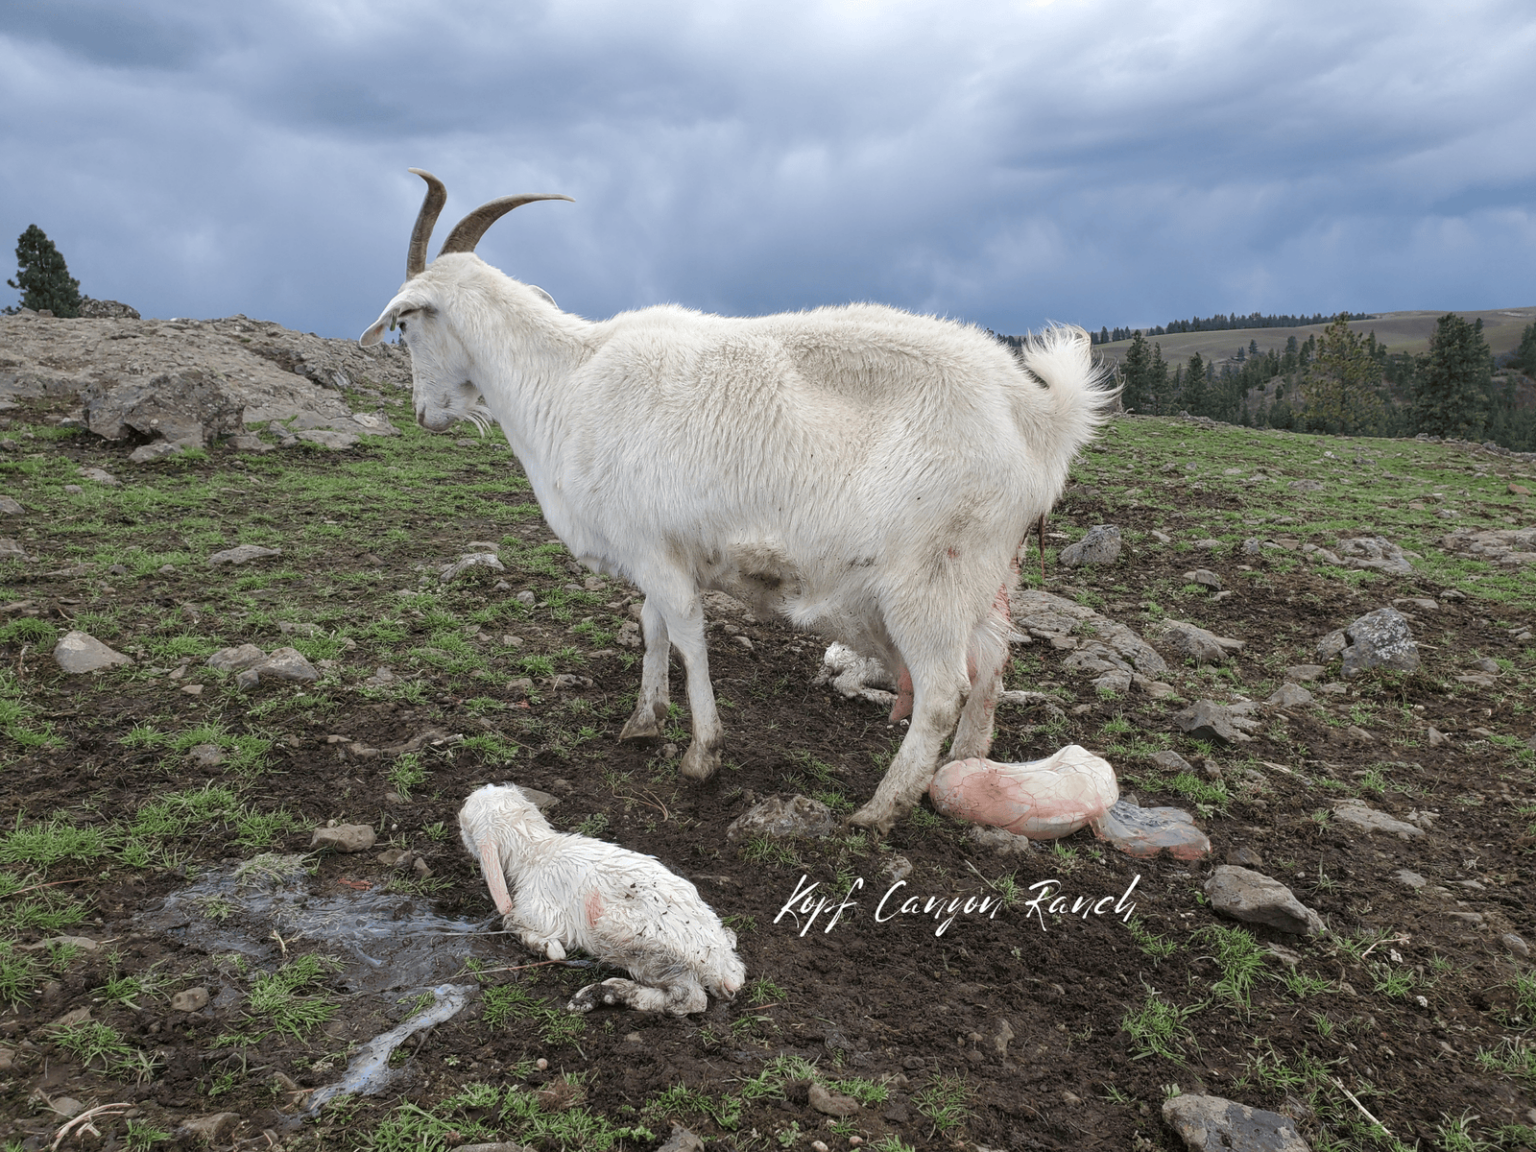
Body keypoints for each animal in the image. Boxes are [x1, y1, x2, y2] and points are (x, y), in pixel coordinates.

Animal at [363, 169, 1115, 833]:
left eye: (406, 327)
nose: (424, 413)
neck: (567, 378)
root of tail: (1037, 414)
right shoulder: (655, 549)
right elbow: (651, 625)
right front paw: (643, 722)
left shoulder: (655, 549)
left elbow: (688, 634)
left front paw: (702, 754)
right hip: (988, 576)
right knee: (990, 667)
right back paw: (958, 775)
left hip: (930, 579)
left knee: (942, 691)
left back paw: (882, 808)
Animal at [458, 783, 745, 1014]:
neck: (537, 849)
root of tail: (718, 962)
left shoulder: (540, 913)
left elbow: (512, 921)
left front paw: (548, 948)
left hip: (636, 943)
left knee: (690, 999)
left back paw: (604, 993)